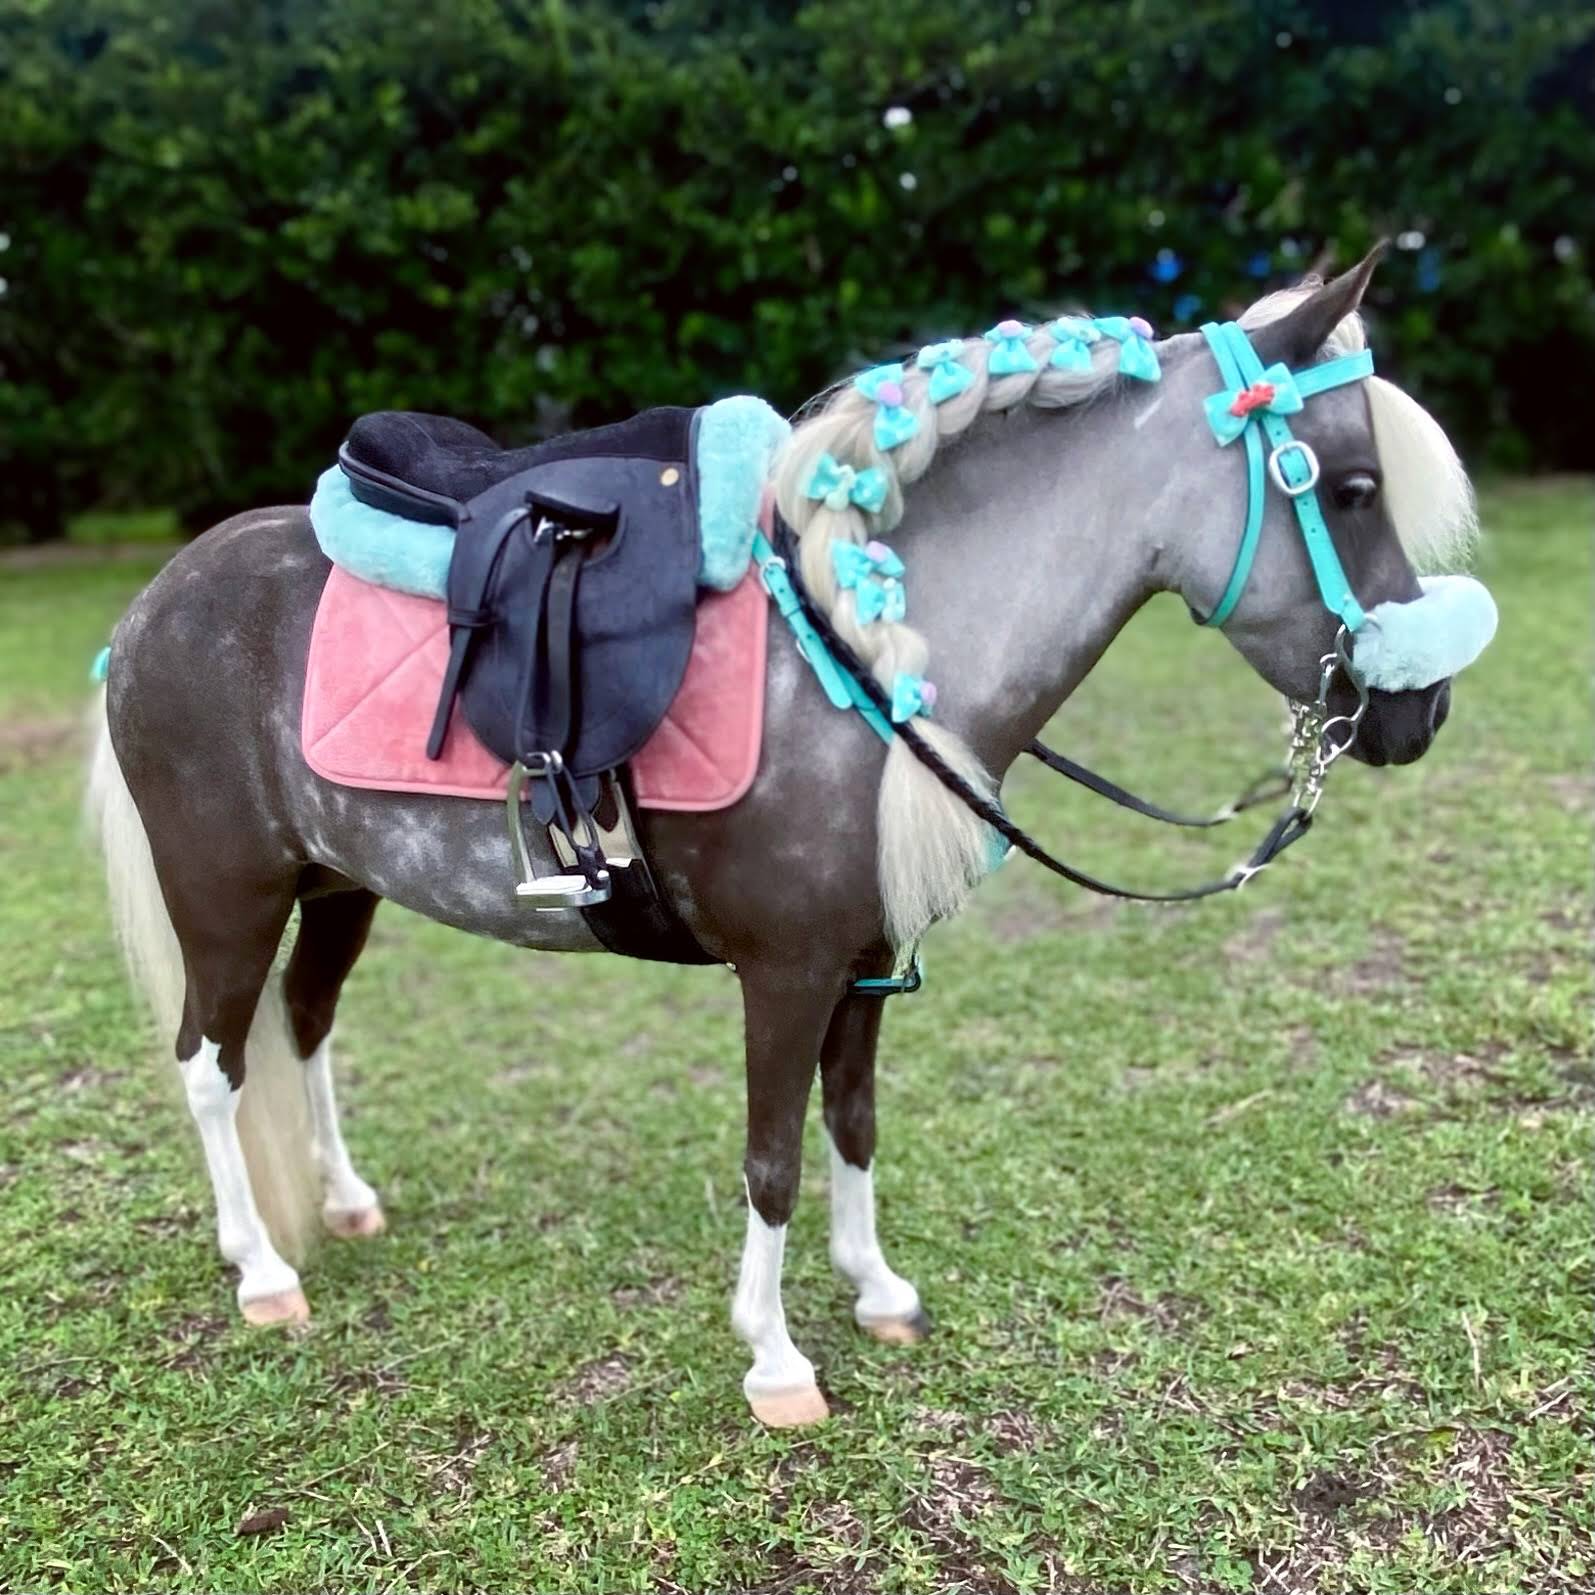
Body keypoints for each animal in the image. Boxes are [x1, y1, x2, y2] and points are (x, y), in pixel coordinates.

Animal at [88, 252, 1487, 1427]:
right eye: (1349, 488)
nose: (1418, 712)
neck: (862, 646)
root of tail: (154, 602)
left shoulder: (863, 962)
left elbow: (851, 1124)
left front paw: (876, 1291)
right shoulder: (787, 969)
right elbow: (769, 1156)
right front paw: (773, 1359)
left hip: (337, 884)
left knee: (305, 1025)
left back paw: (341, 1202)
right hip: (226, 892)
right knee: (210, 1061)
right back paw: (262, 1269)